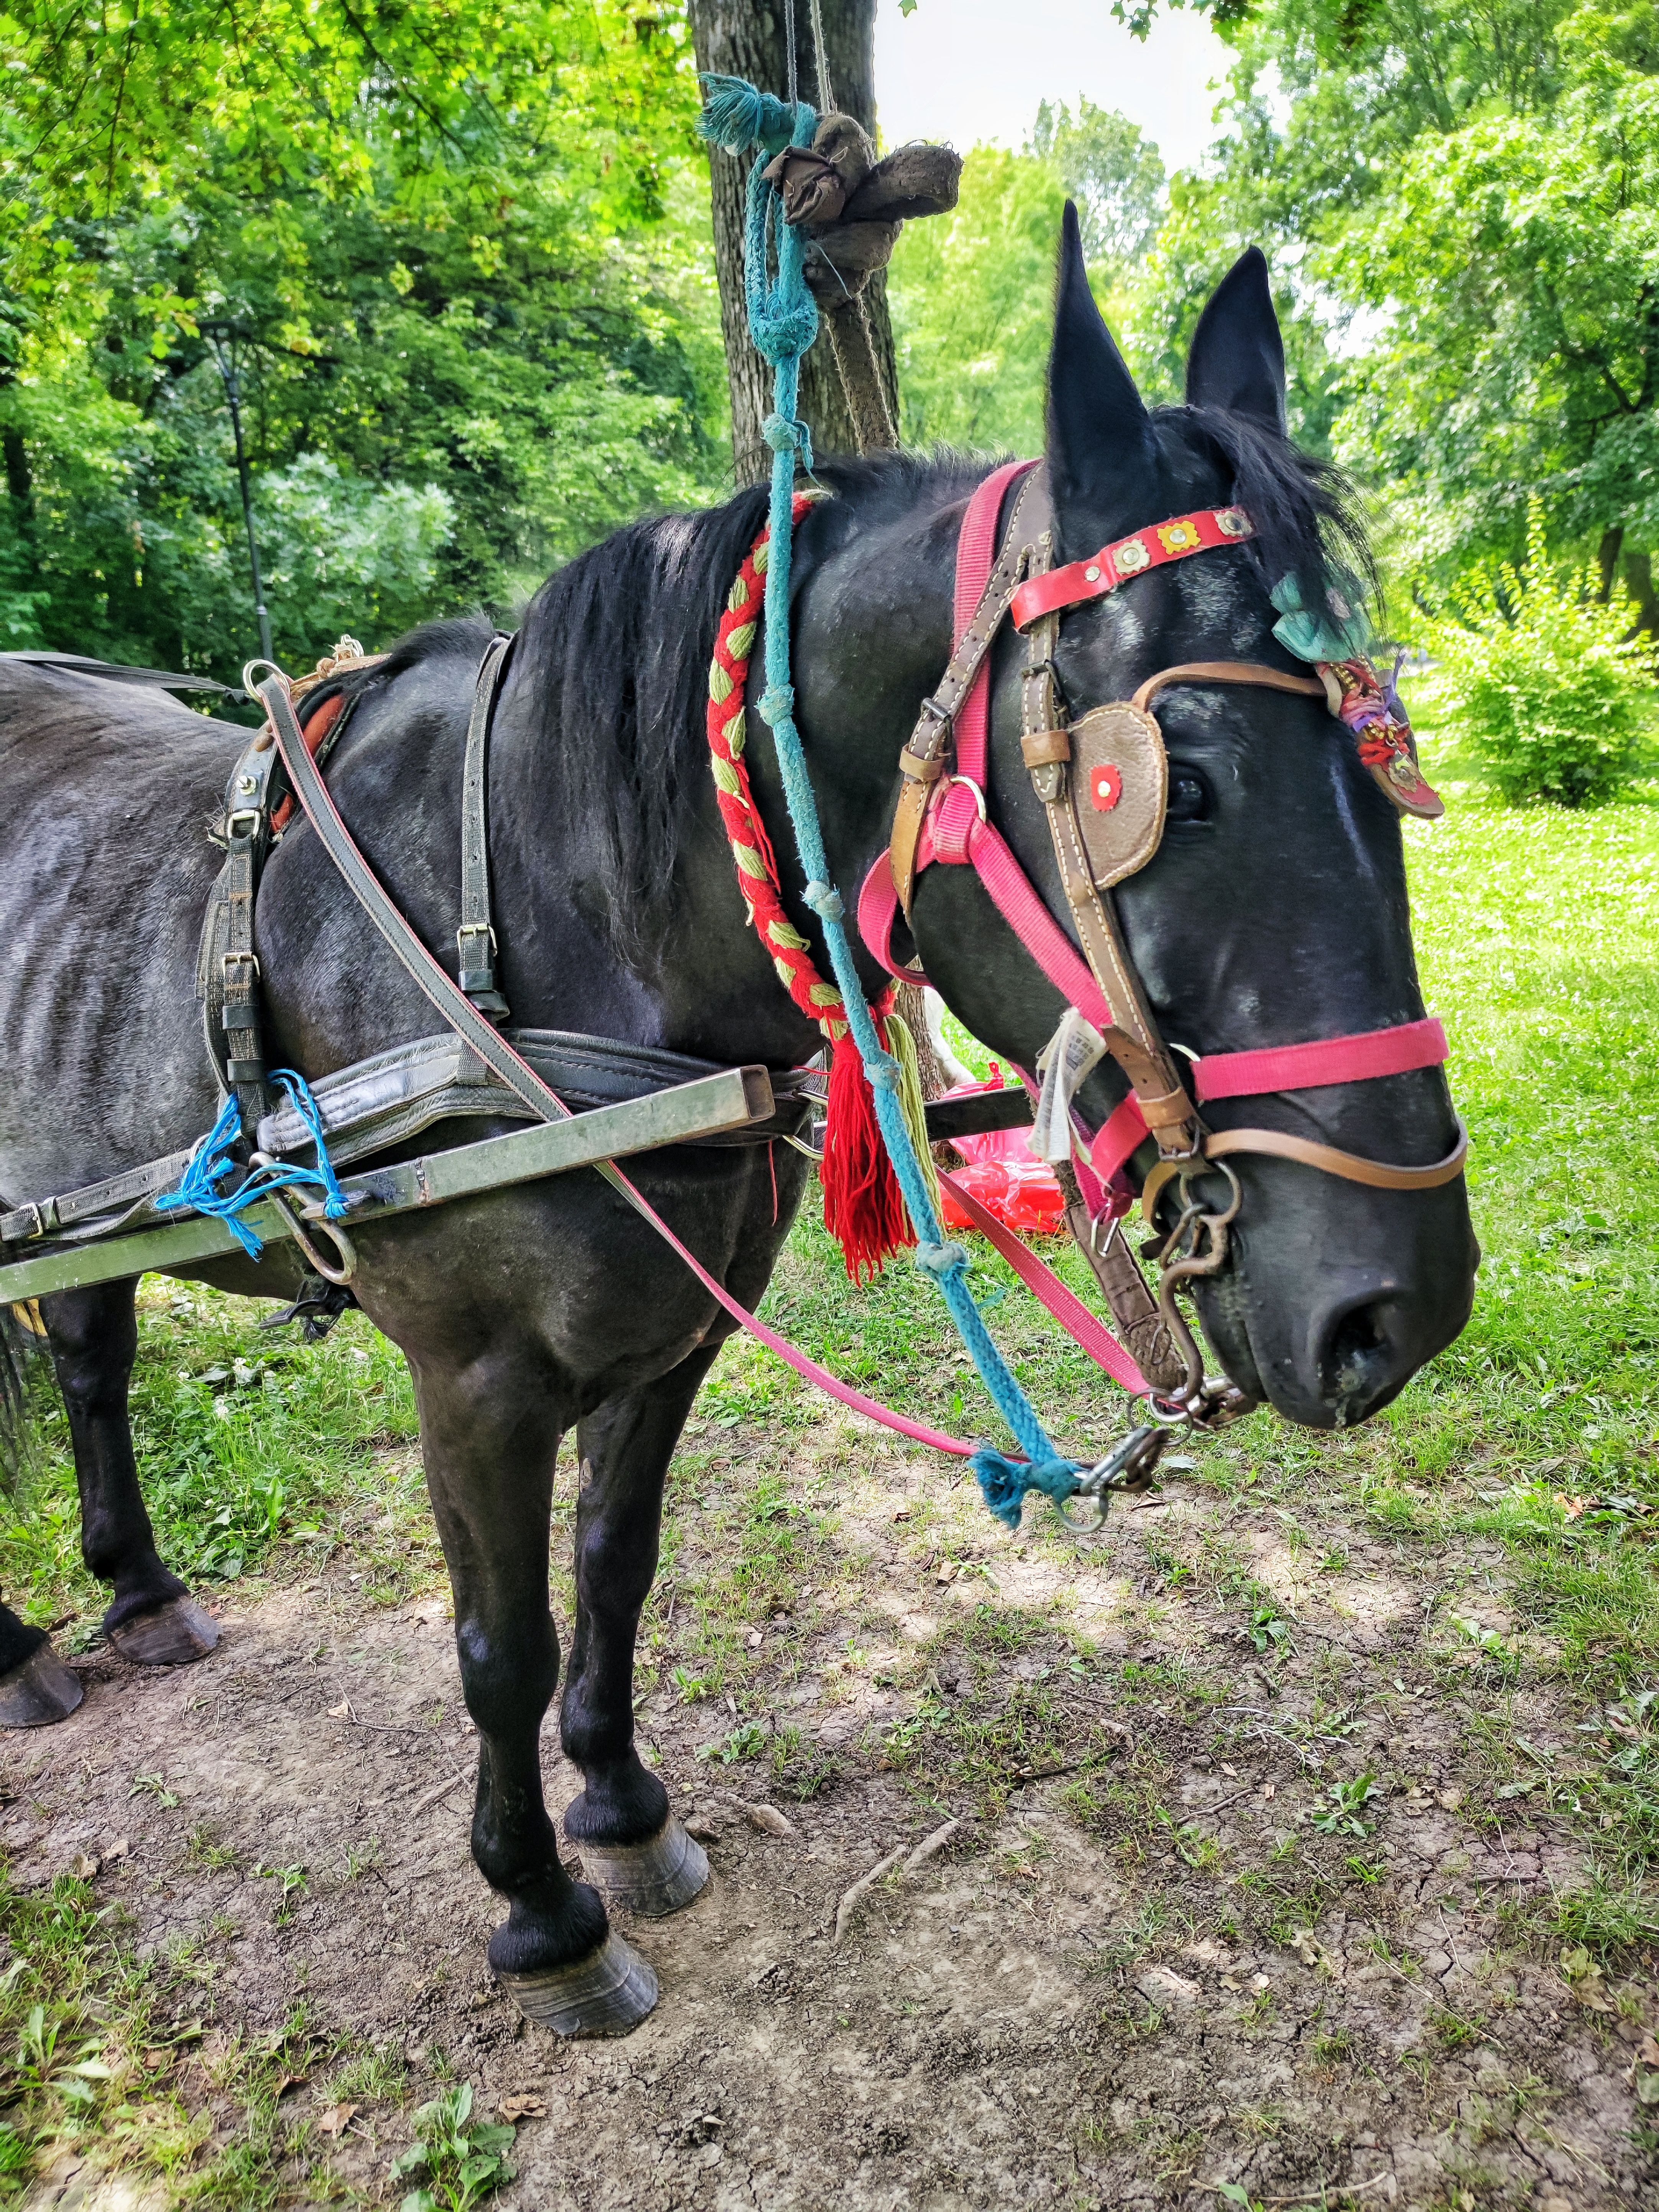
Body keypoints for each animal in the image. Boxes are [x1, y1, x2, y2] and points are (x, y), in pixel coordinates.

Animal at [0, 214, 1477, 2035]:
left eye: (1389, 763)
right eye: (1166, 782)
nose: (1403, 1299)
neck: (558, 922)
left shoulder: (670, 1340)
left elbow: (614, 1568)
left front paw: (625, 1811)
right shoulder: (474, 1379)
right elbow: (498, 1644)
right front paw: (541, 1907)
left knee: (87, 1351)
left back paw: (135, 1591)